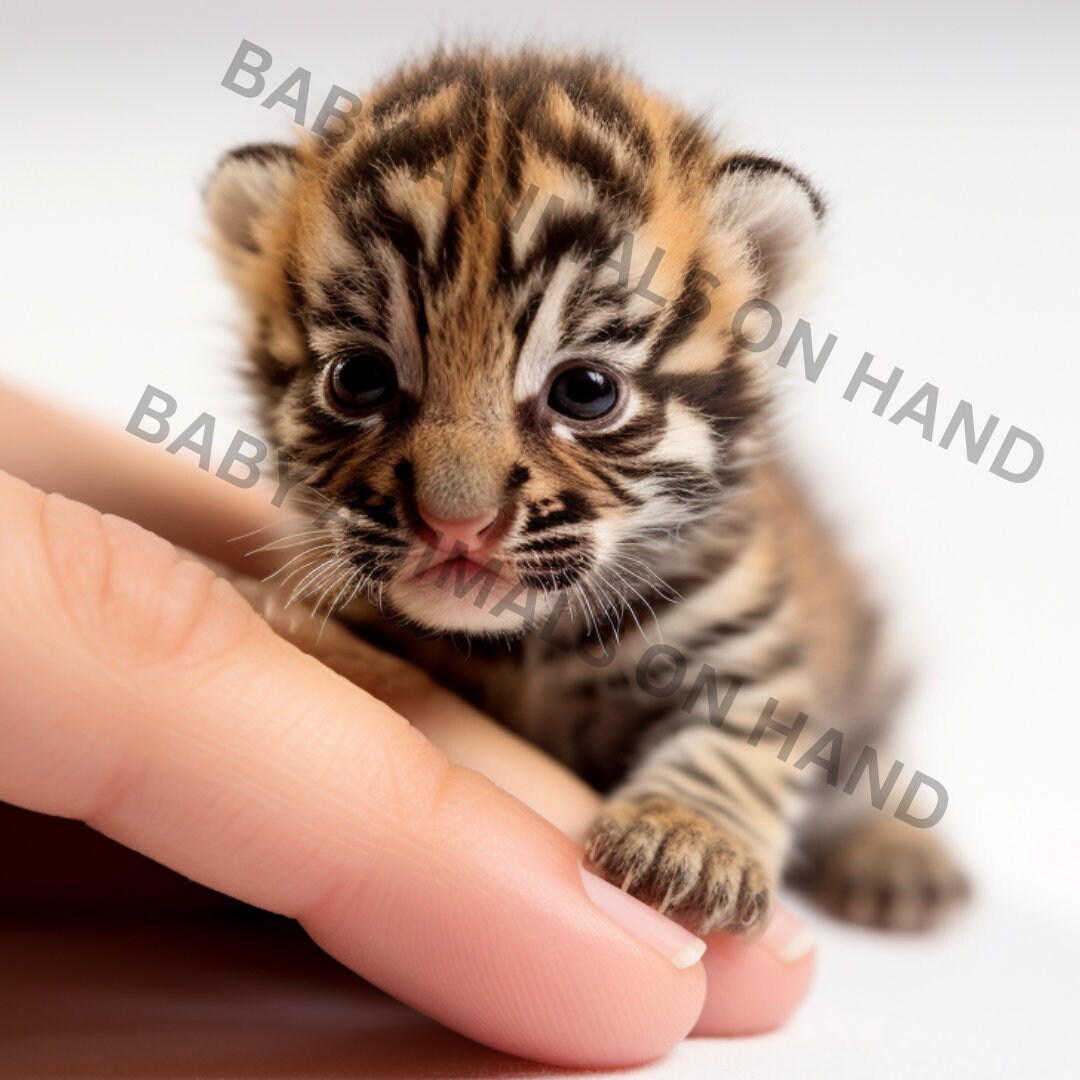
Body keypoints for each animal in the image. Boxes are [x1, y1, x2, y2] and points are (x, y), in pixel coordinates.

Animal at [203, 46, 967, 938]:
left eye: (586, 391)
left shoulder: (746, 644)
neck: (531, 642)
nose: (454, 523)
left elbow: (739, 744)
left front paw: (686, 847)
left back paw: (894, 859)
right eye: (359, 379)